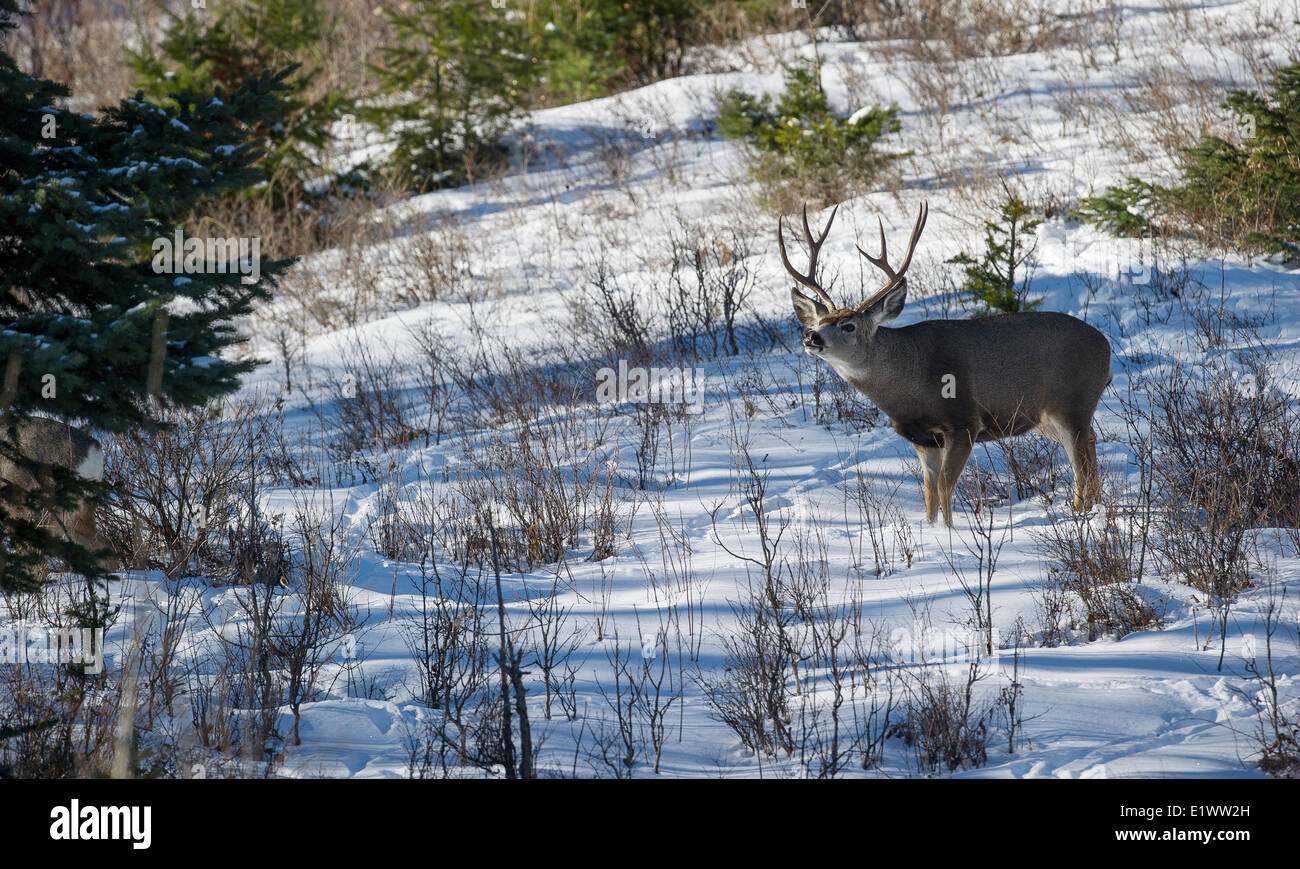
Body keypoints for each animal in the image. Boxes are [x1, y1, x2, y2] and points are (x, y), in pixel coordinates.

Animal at [780, 201, 1112, 526]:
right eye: (821, 321)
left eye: (848, 325)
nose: (811, 336)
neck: (910, 383)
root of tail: (1106, 348)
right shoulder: (923, 438)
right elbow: (929, 490)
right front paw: (931, 528)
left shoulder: (964, 421)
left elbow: (944, 486)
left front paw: (948, 531)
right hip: (1046, 418)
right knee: (1090, 445)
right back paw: (1092, 506)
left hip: (1072, 402)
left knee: (1081, 462)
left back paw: (1080, 513)